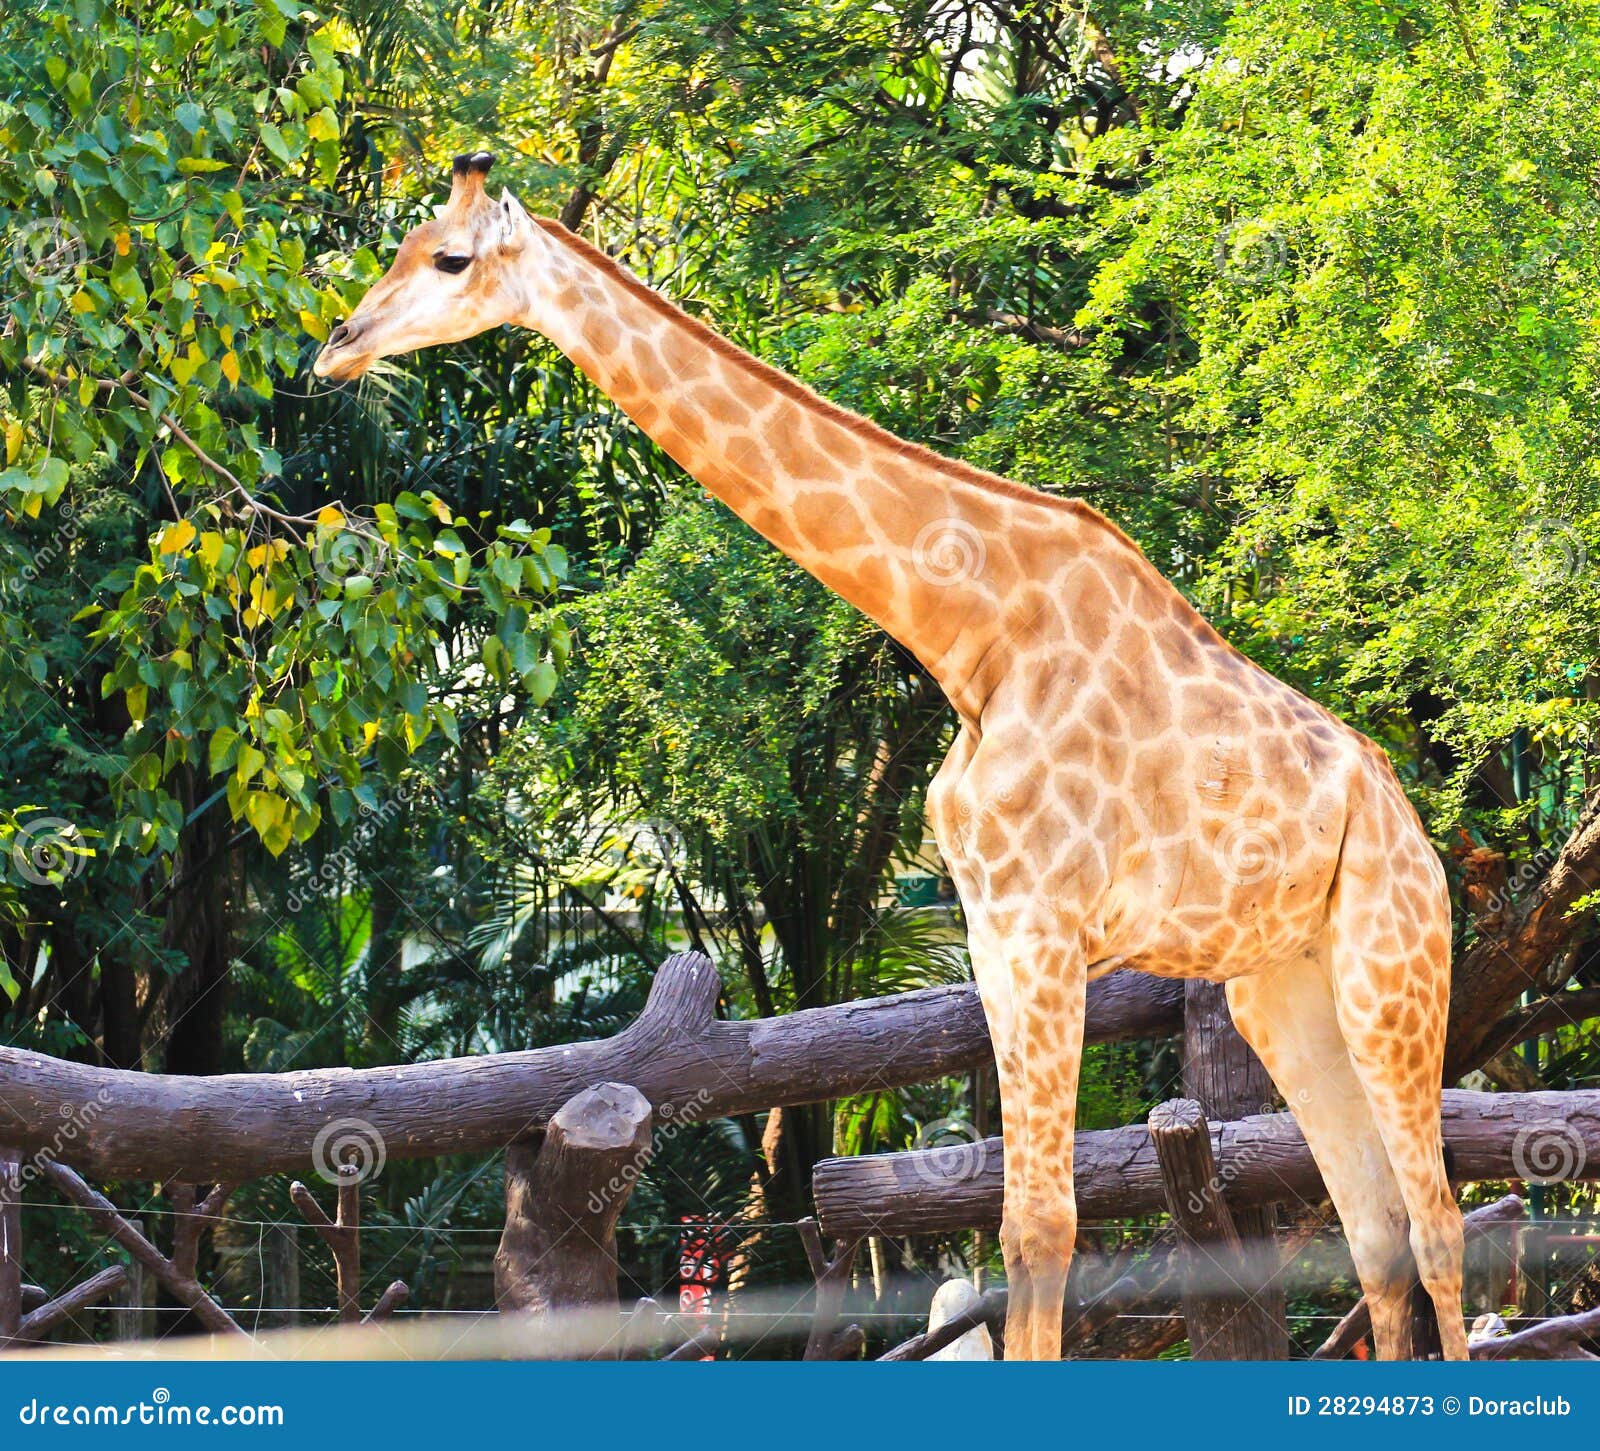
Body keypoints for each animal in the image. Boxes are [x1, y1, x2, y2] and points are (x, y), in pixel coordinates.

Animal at [313, 153, 1467, 1361]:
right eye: (399, 243)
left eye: (450, 258)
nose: (335, 342)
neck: (972, 636)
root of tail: (1409, 820)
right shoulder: (994, 931)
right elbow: (1016, 1223)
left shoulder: (1042, 926)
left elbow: (1042, 1225)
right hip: (1282, 987)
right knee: (1375, 1227)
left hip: (1392, 963)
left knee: (1435, 1221)